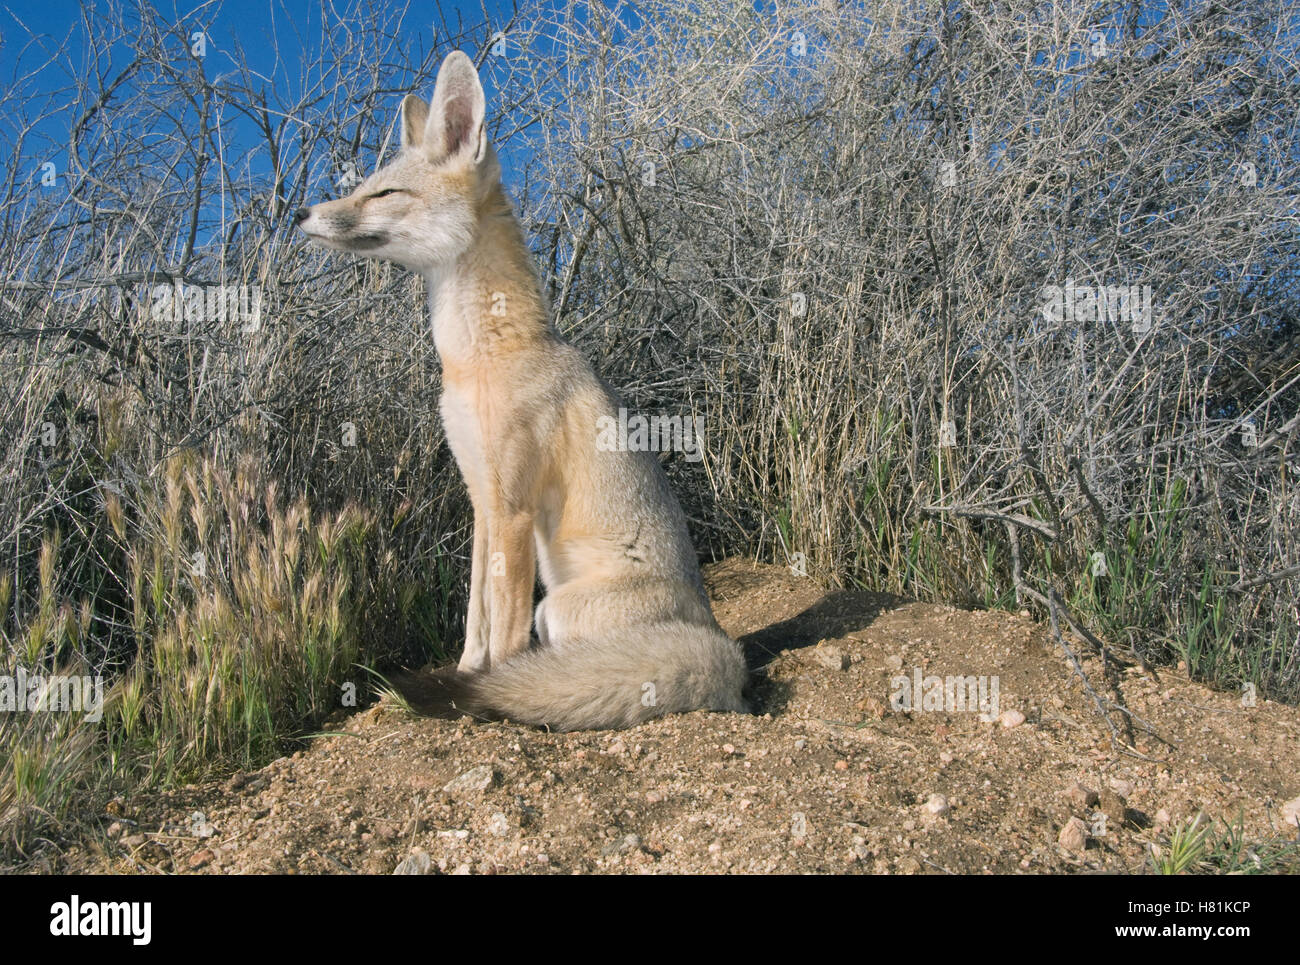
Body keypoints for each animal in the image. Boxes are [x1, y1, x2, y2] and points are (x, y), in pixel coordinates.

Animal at [295, 50, 748, 731]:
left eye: (384, 192)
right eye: (363, 185)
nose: (300, 214)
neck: (480, 358)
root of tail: (727, 649)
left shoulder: (511, 507)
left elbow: (501, 631)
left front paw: (495, 689)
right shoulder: (481, 499)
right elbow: (474, 620)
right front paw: (467, 676)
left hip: (554, 609)